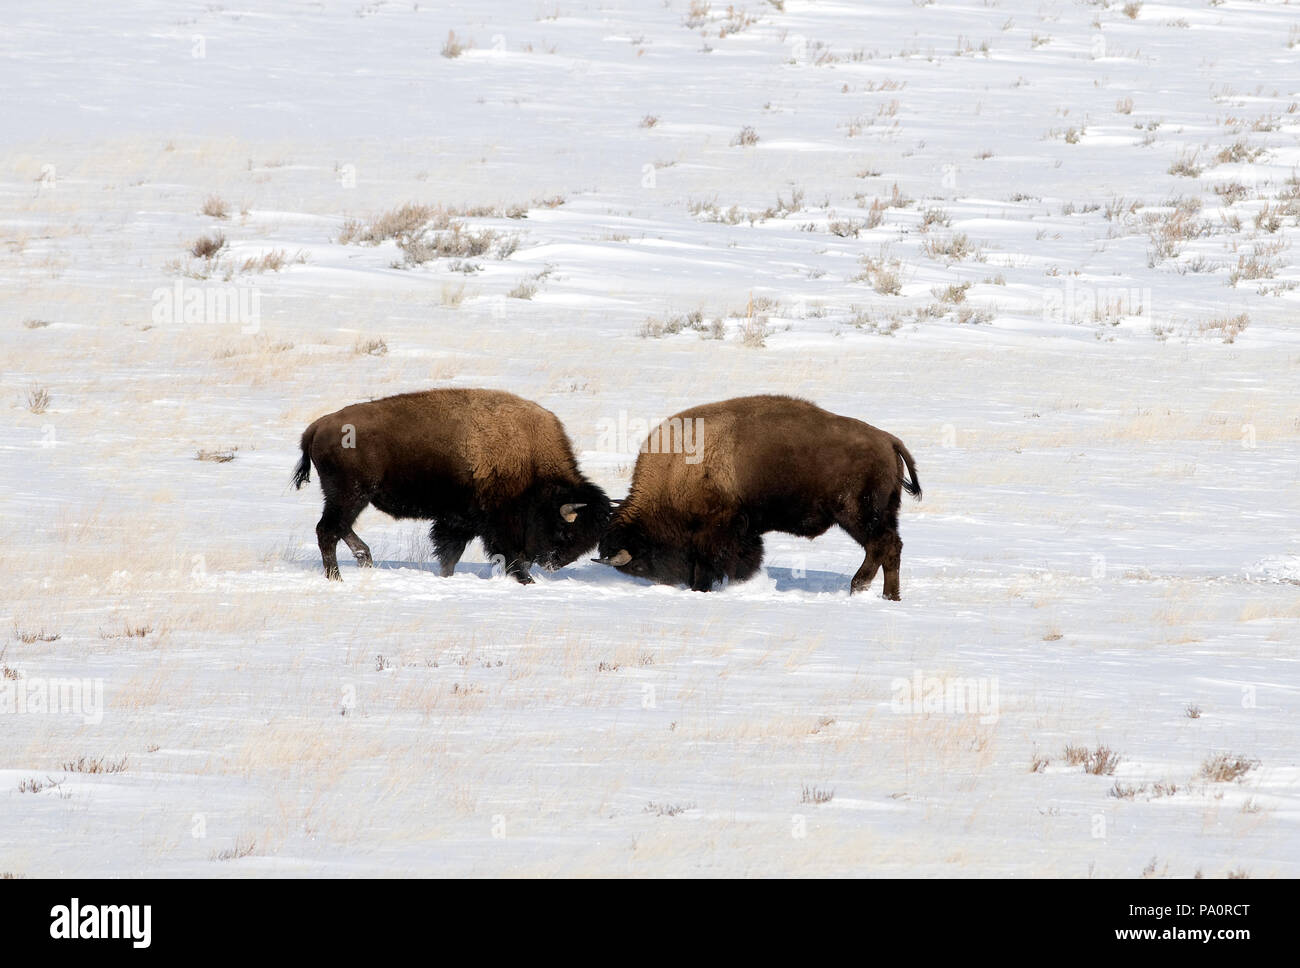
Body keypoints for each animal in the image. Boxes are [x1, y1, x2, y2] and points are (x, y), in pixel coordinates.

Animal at [293, 388, 611, 583]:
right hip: (350, 494)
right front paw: (526, 580)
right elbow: (508, 555)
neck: (529, 457)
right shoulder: (497, 524)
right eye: (564, 531)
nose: (551, 564)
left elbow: (450, 554)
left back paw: (365, 560)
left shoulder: (460, 521)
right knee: (328, 530)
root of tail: (318, 427)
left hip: (350, 497)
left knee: (339, 528)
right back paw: (337, 577)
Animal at [594, 395, 920, 598]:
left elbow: (708, 561)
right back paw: (888, 597)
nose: (666, 582)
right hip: (881, 514)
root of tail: (888, 440)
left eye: (640, 563)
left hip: (857, 515)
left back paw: (858, 587)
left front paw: (702, 587)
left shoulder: (715, 530)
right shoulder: (745, 530)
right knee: (891, 548)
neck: (676, 469)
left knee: (880, 546)